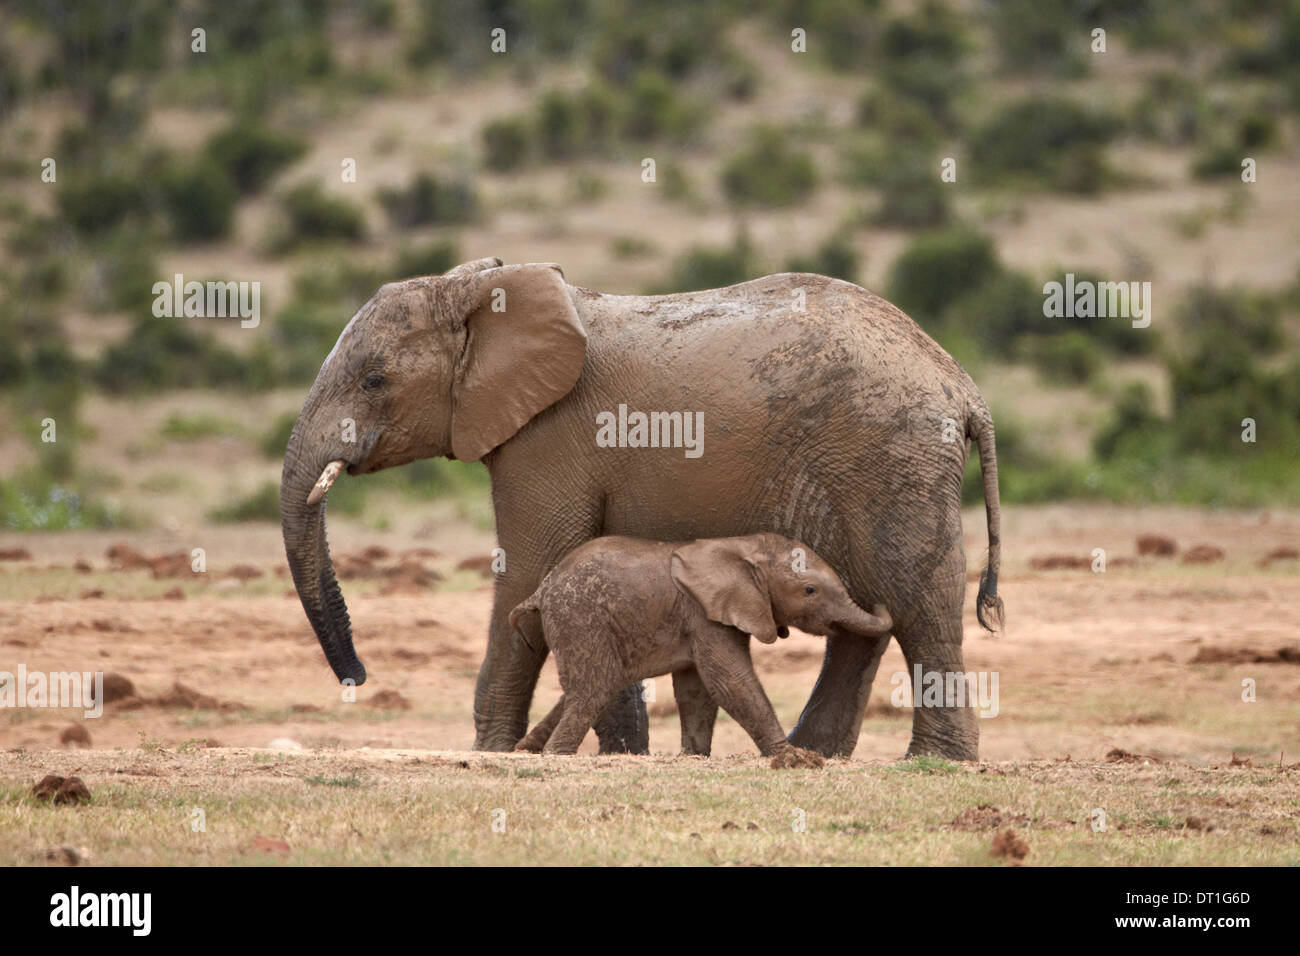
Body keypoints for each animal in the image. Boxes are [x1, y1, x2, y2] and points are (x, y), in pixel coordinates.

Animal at [508, 533, 893, 759]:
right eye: (810, 590)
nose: (879, 600)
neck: (744, 546)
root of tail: (542, 589)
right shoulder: (705, 613)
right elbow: (728, 680)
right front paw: (793, 759)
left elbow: (697, 688)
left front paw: (693, 756)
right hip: (579, 616)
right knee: (594, 686)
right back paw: (555, 755)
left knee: (593, 684)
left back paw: (525, 750)